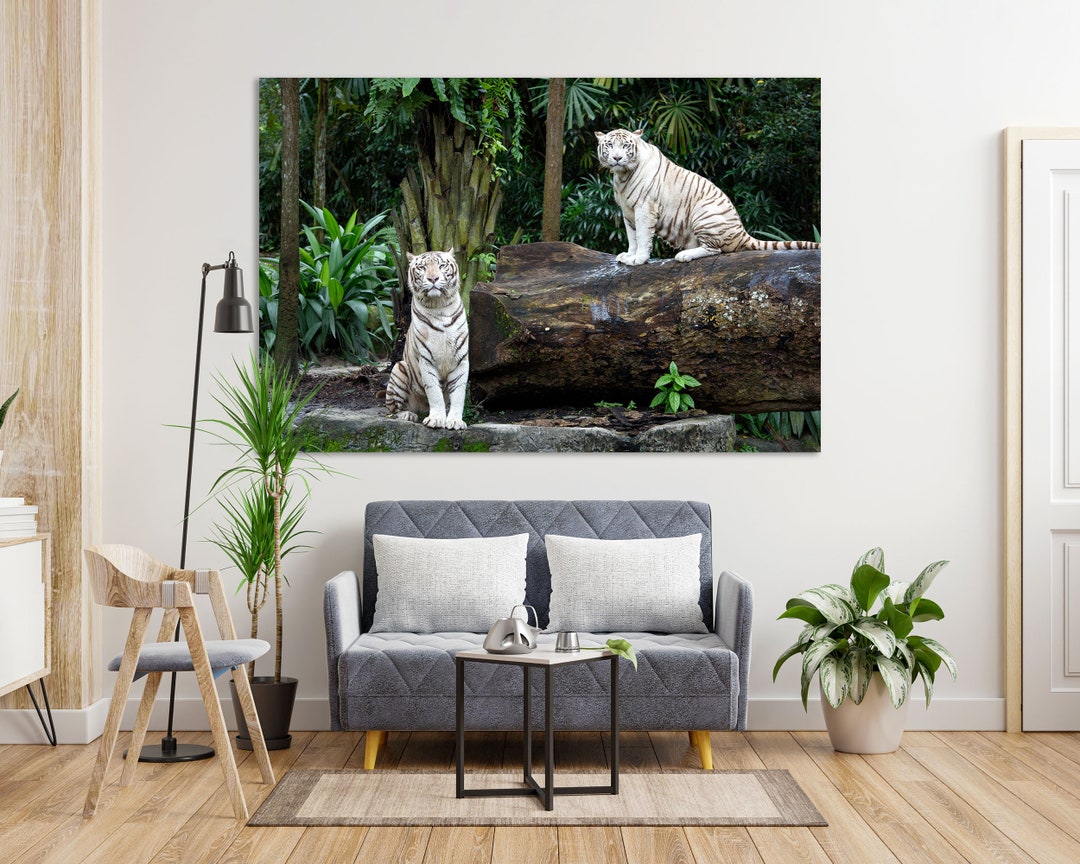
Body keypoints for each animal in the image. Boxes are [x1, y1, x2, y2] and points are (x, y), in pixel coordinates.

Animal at [385, 249, 470, 430]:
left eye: (442, 265)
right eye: (422, 267)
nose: (433, 279)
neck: (439, 306)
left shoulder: (461, 360)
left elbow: (459, 394)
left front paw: (454, 421)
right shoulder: (426, 359)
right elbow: (434, 392)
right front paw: (437, 419)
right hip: (399, 368)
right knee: (393, 410)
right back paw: (408, 415)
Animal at [595, 128, 820, 266]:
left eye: (625, 146)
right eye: (609, 145)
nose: (617, 158)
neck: (622, 176)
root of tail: (742, 232)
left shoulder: (644, 208)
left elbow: (642, 236)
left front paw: (639, 259)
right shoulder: (627, 211)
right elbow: (632, 236)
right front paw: (629, 255)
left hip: (703, 212)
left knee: (715, 250)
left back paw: (684, 255)